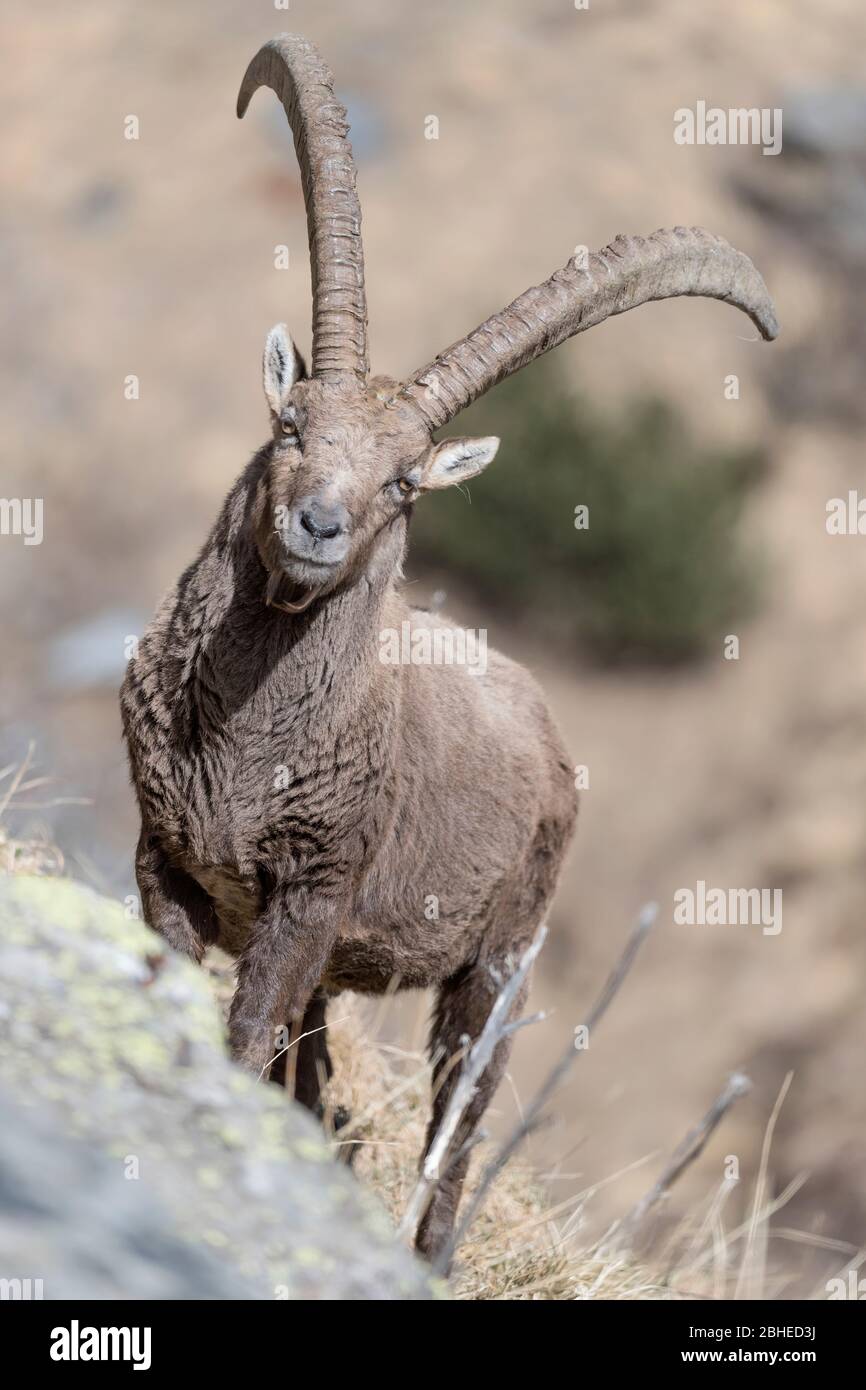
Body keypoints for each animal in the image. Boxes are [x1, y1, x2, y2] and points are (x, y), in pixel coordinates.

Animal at [120, 34, 778, 1264]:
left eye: (403, 485)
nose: (317, 526)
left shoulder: (309, 894)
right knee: (319, 1088)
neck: (244, 748)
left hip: (498, 962)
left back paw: (423, 1251)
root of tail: (541, 711)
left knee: (454, 1122)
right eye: (291, 425)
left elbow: (244, 1038)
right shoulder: (169, 861)